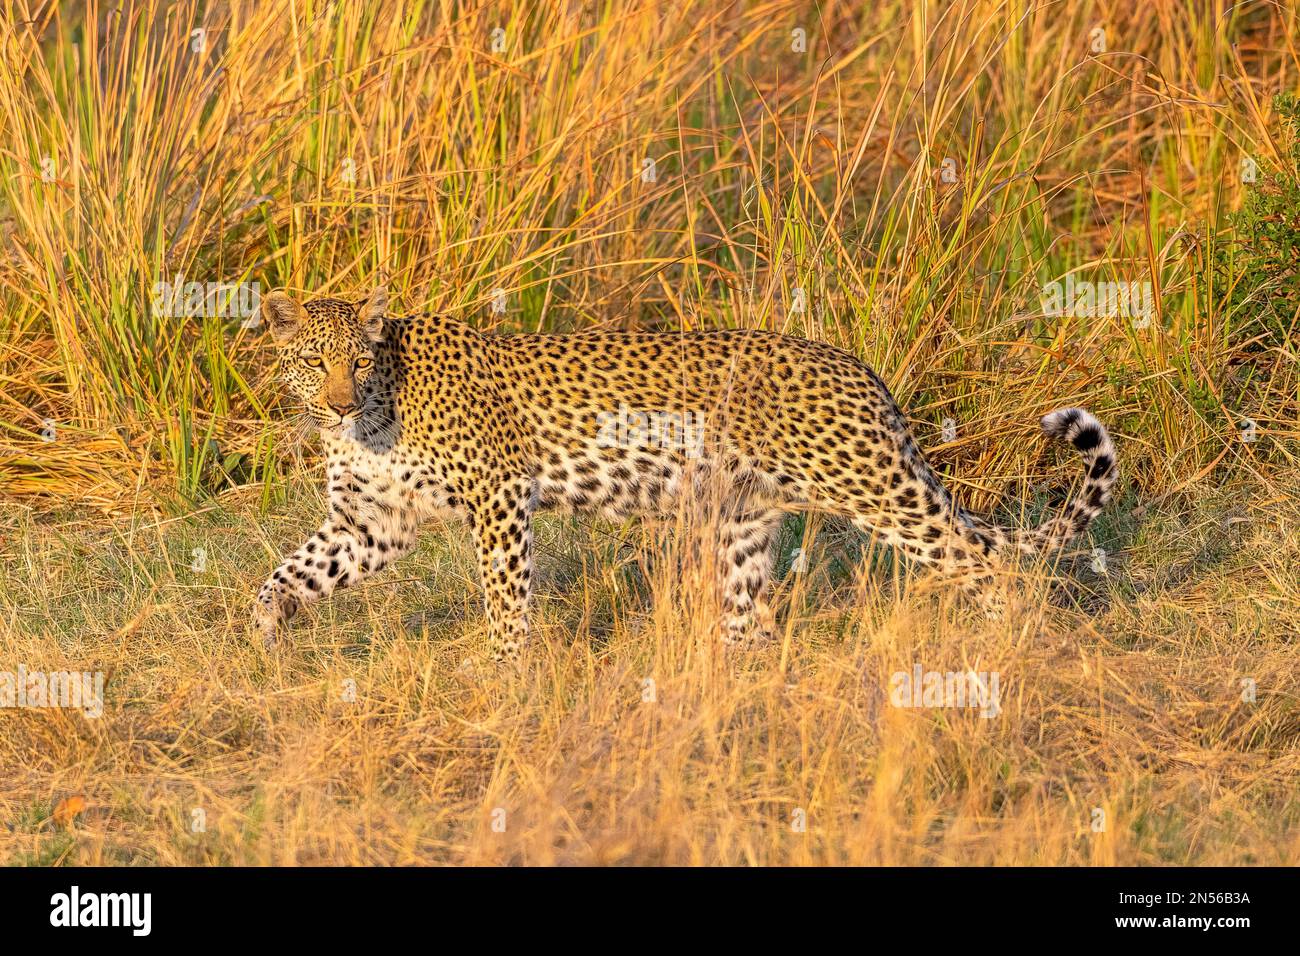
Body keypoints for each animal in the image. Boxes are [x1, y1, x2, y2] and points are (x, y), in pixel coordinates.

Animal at [254, 286, 1119, 661]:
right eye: (312, 363)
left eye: (356, 361)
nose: (334, 404)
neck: (372, 420)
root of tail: (863, 372)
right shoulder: (373, 524)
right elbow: (286, 574)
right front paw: (266, 632)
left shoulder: (498, 499)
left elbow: (505, 601)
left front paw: (504, 676)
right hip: (746, 518)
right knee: (750, 616)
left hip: (876, 489)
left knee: (981, 559)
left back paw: (1011, 645)